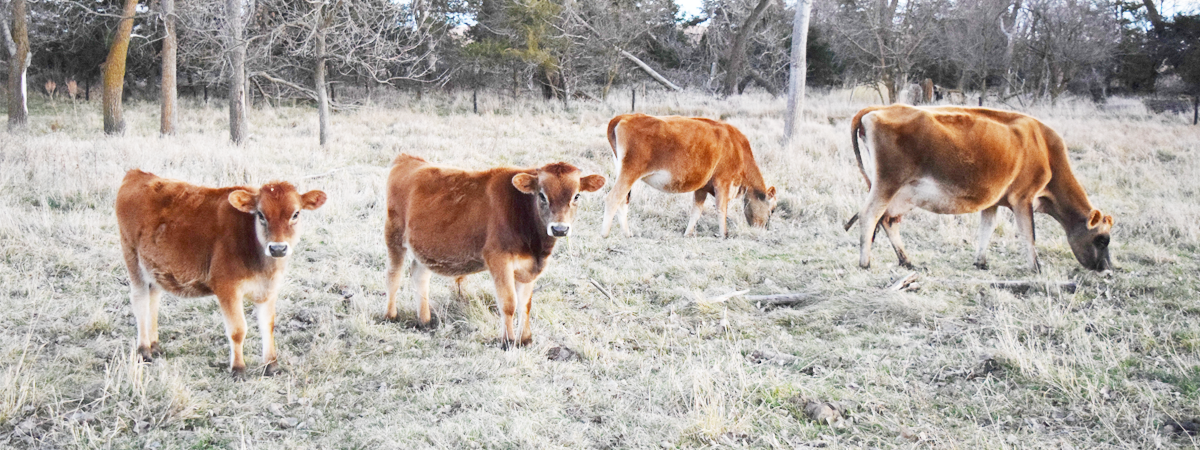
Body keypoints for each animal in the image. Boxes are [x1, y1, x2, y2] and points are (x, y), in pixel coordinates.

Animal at [115, 170, 327, 376]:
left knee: (153, 299)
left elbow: (268, 325)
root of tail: (137, 174)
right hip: (132, 259)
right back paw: (144, 351)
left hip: (155, 269)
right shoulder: (227, 288)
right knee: (140, 300)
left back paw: (155, 346)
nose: (278, 248)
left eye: (295, 214)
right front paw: (238, 369)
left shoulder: (269, 290)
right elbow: (238, 329)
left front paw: (271, 365)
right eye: (260, 214)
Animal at [384, 154, 605, 348]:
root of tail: (408, 159)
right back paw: (390, 316)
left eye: (577, 195)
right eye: (542, 195)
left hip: (426, 247)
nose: (560, 229)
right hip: (394, 234)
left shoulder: (529, 266)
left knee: (419, 275)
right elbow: (509, 303)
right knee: (393, 276)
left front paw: (525, 339)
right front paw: (508, 341)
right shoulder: (498, 258)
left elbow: (525, 304)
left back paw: (425, 320)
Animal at [601, 114, 777, 238]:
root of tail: (623, 117)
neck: (738, 148)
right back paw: (605, 234)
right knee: (613, 198)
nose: (765, 228)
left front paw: (688, 233)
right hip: (630, 172)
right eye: (773, 210)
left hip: (624, 173)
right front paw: (724, 234)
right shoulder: (723, 182)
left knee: (623, 200)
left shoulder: (702, 187)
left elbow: (696, 211)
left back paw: (627, 233)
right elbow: (721, 208)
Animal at [846, 104, 1113, 272]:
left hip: (900, 193)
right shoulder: (1023, 198)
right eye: (1102, 240)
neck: (1046, 150)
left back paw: (907, 261)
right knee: (869, 215)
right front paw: (1036, 267)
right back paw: (865, 263)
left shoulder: (993, 201)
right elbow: (1029, 234)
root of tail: (879, 109)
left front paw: (981, 262)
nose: (1108, 269)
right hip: (887, 184)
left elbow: (988, 227)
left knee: (888, 220)